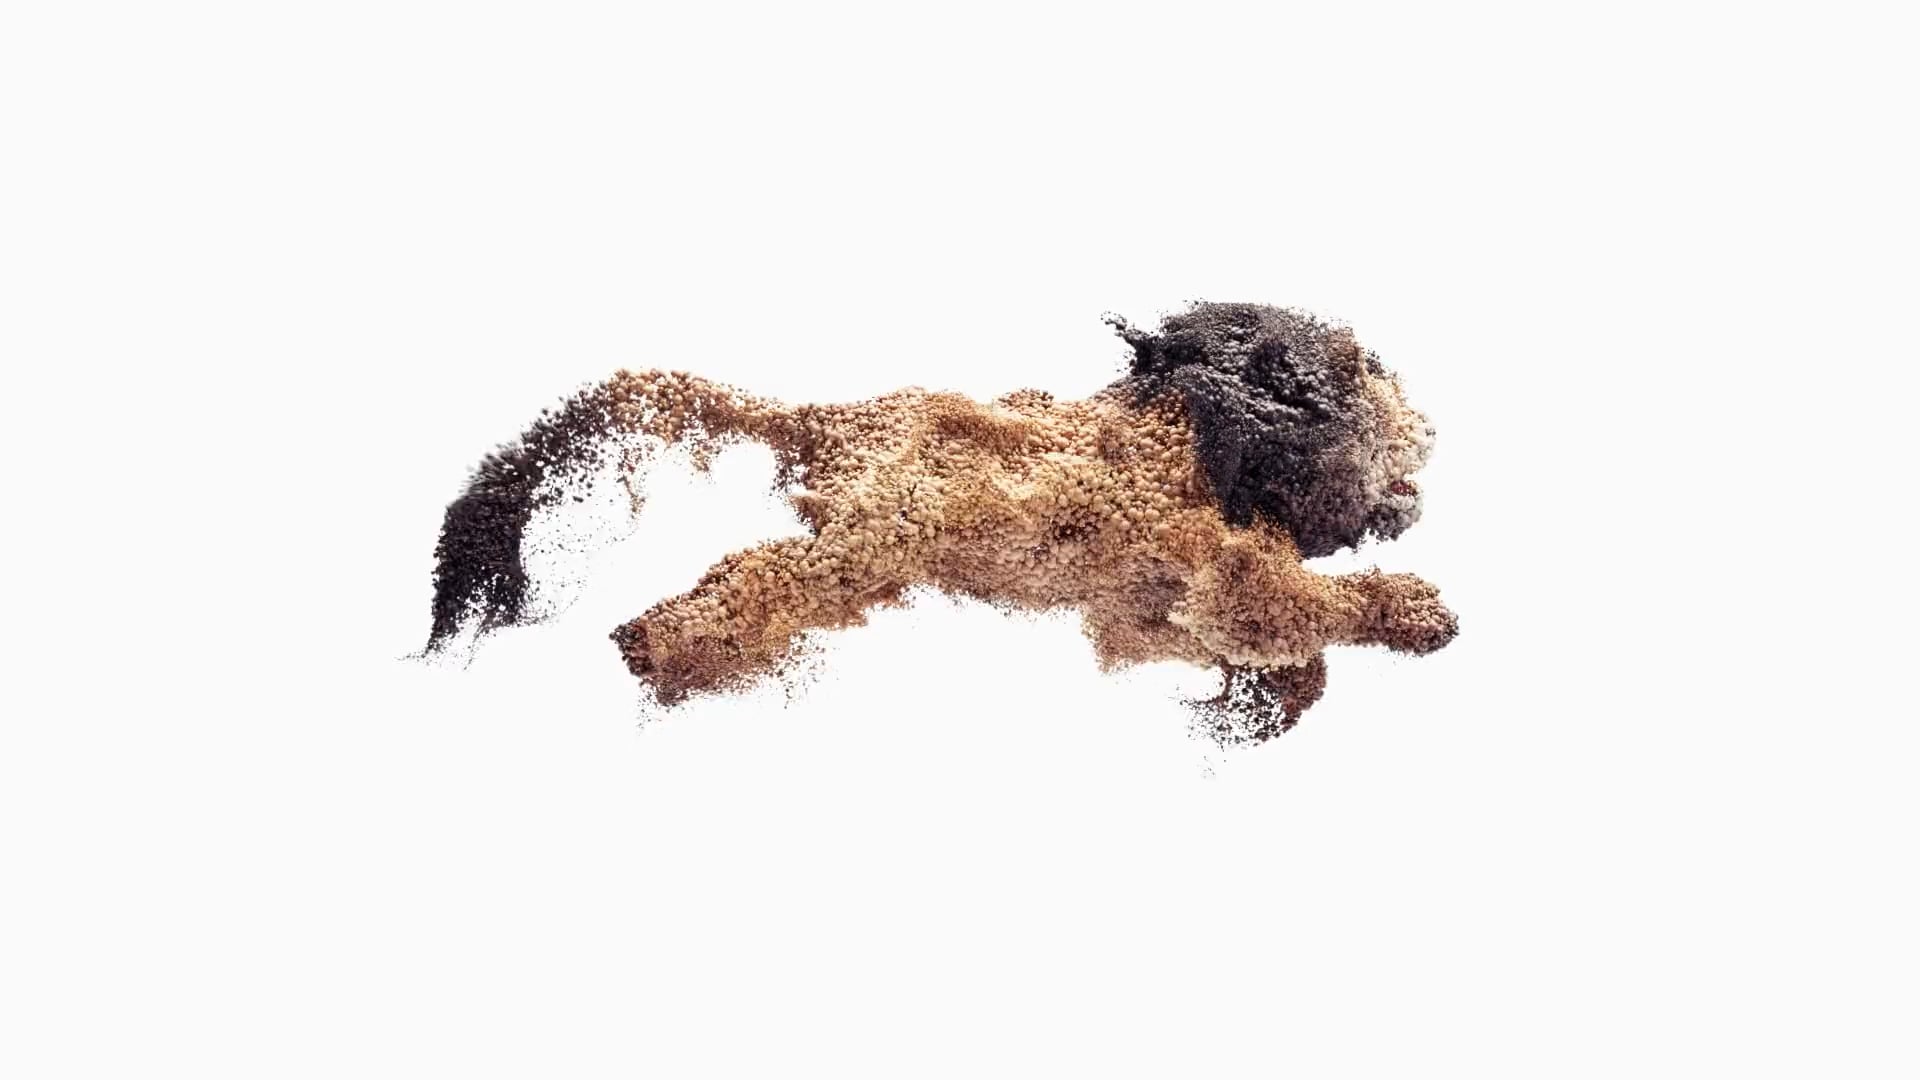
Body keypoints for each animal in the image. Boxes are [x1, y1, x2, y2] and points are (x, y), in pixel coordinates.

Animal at [424, 302, 1457, 742]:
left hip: (860, 555)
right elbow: (1300, 604)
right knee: (751, 583)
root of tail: (828, 420)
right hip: (864, 542)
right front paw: (1417, 611)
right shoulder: (1221, 570)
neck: (1198, 436)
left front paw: (1260, 704)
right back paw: (661, 649)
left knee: (743, 575)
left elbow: (1261, 645)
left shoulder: (1139, 611)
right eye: (1374, 382)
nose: (1428, 437)